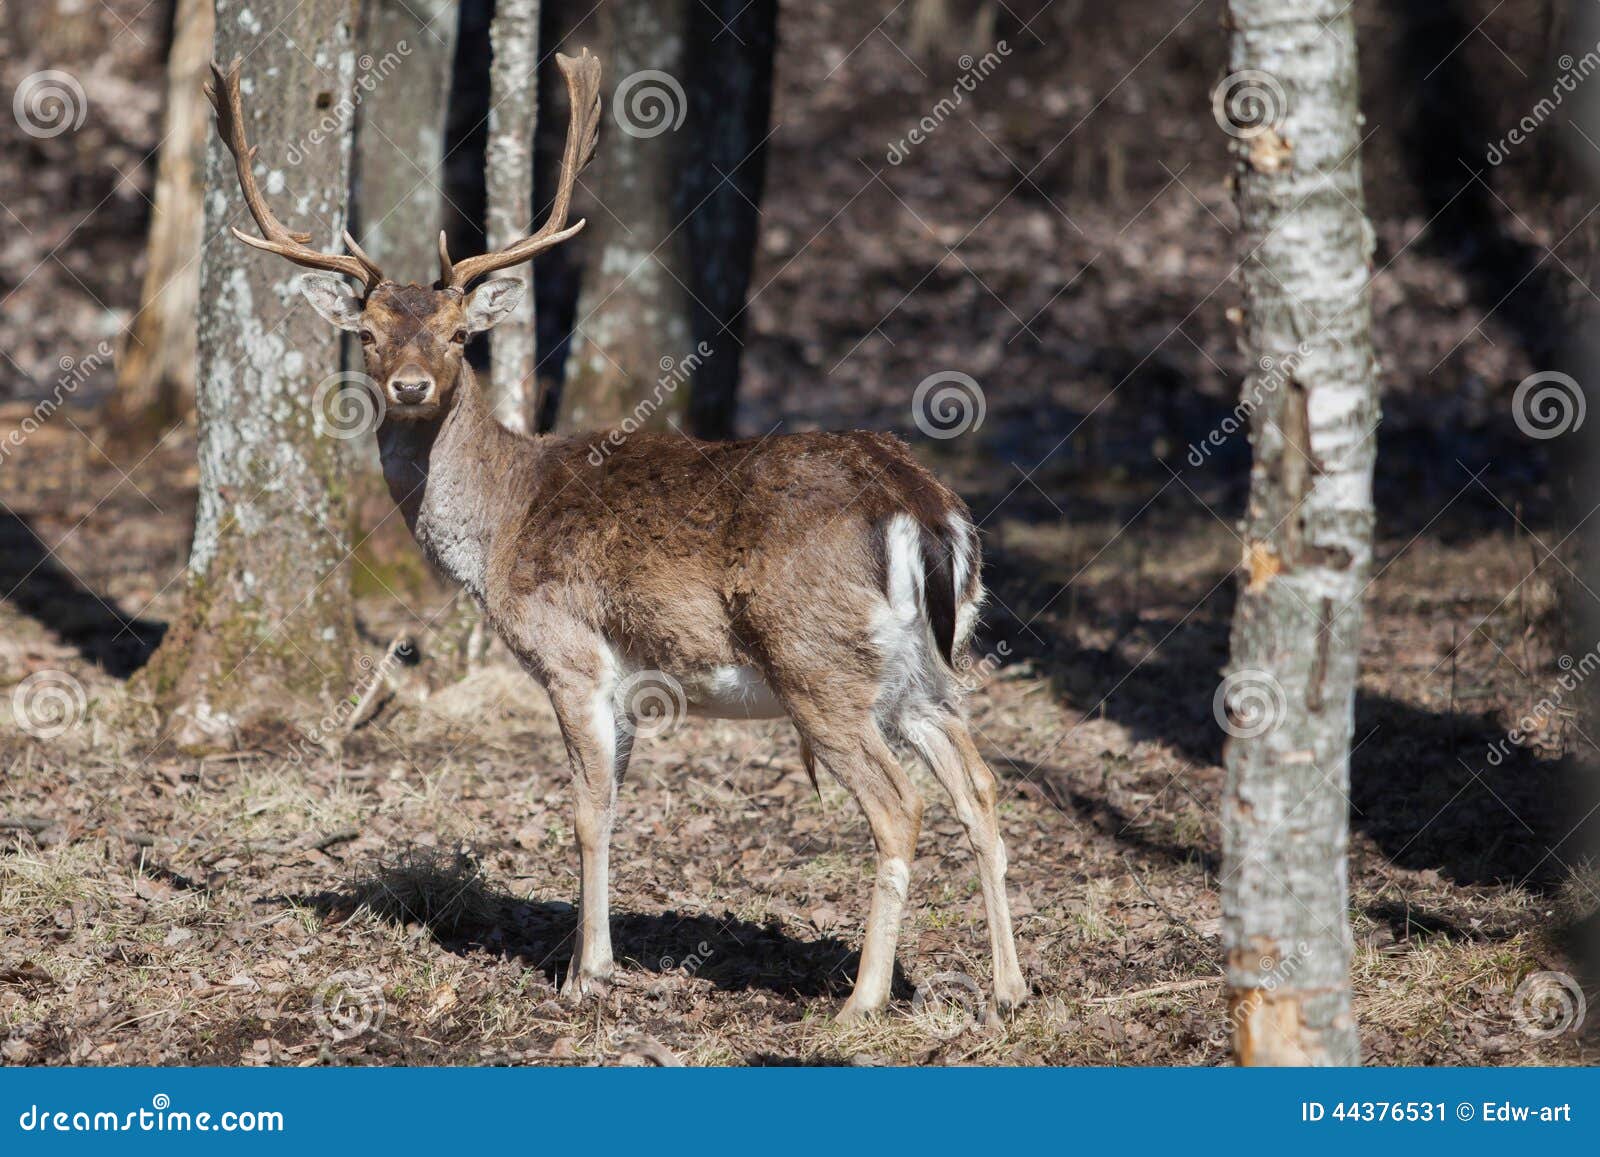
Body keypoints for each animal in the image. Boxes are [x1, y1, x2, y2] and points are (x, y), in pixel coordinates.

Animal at [205, 49, 1027, 1020]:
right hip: (927, 667)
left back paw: (861, 1000)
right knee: (982, 789)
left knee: (900, 805)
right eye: (366, 334)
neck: (499, 526)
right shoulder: (634, 683)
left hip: (818, 660)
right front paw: (598, 957)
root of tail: (923, 508)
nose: (409, 385)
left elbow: (586, 810)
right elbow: (616, 802)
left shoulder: (569, 652)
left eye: (459, 334)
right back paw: (1010, 986)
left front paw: (584, 971)